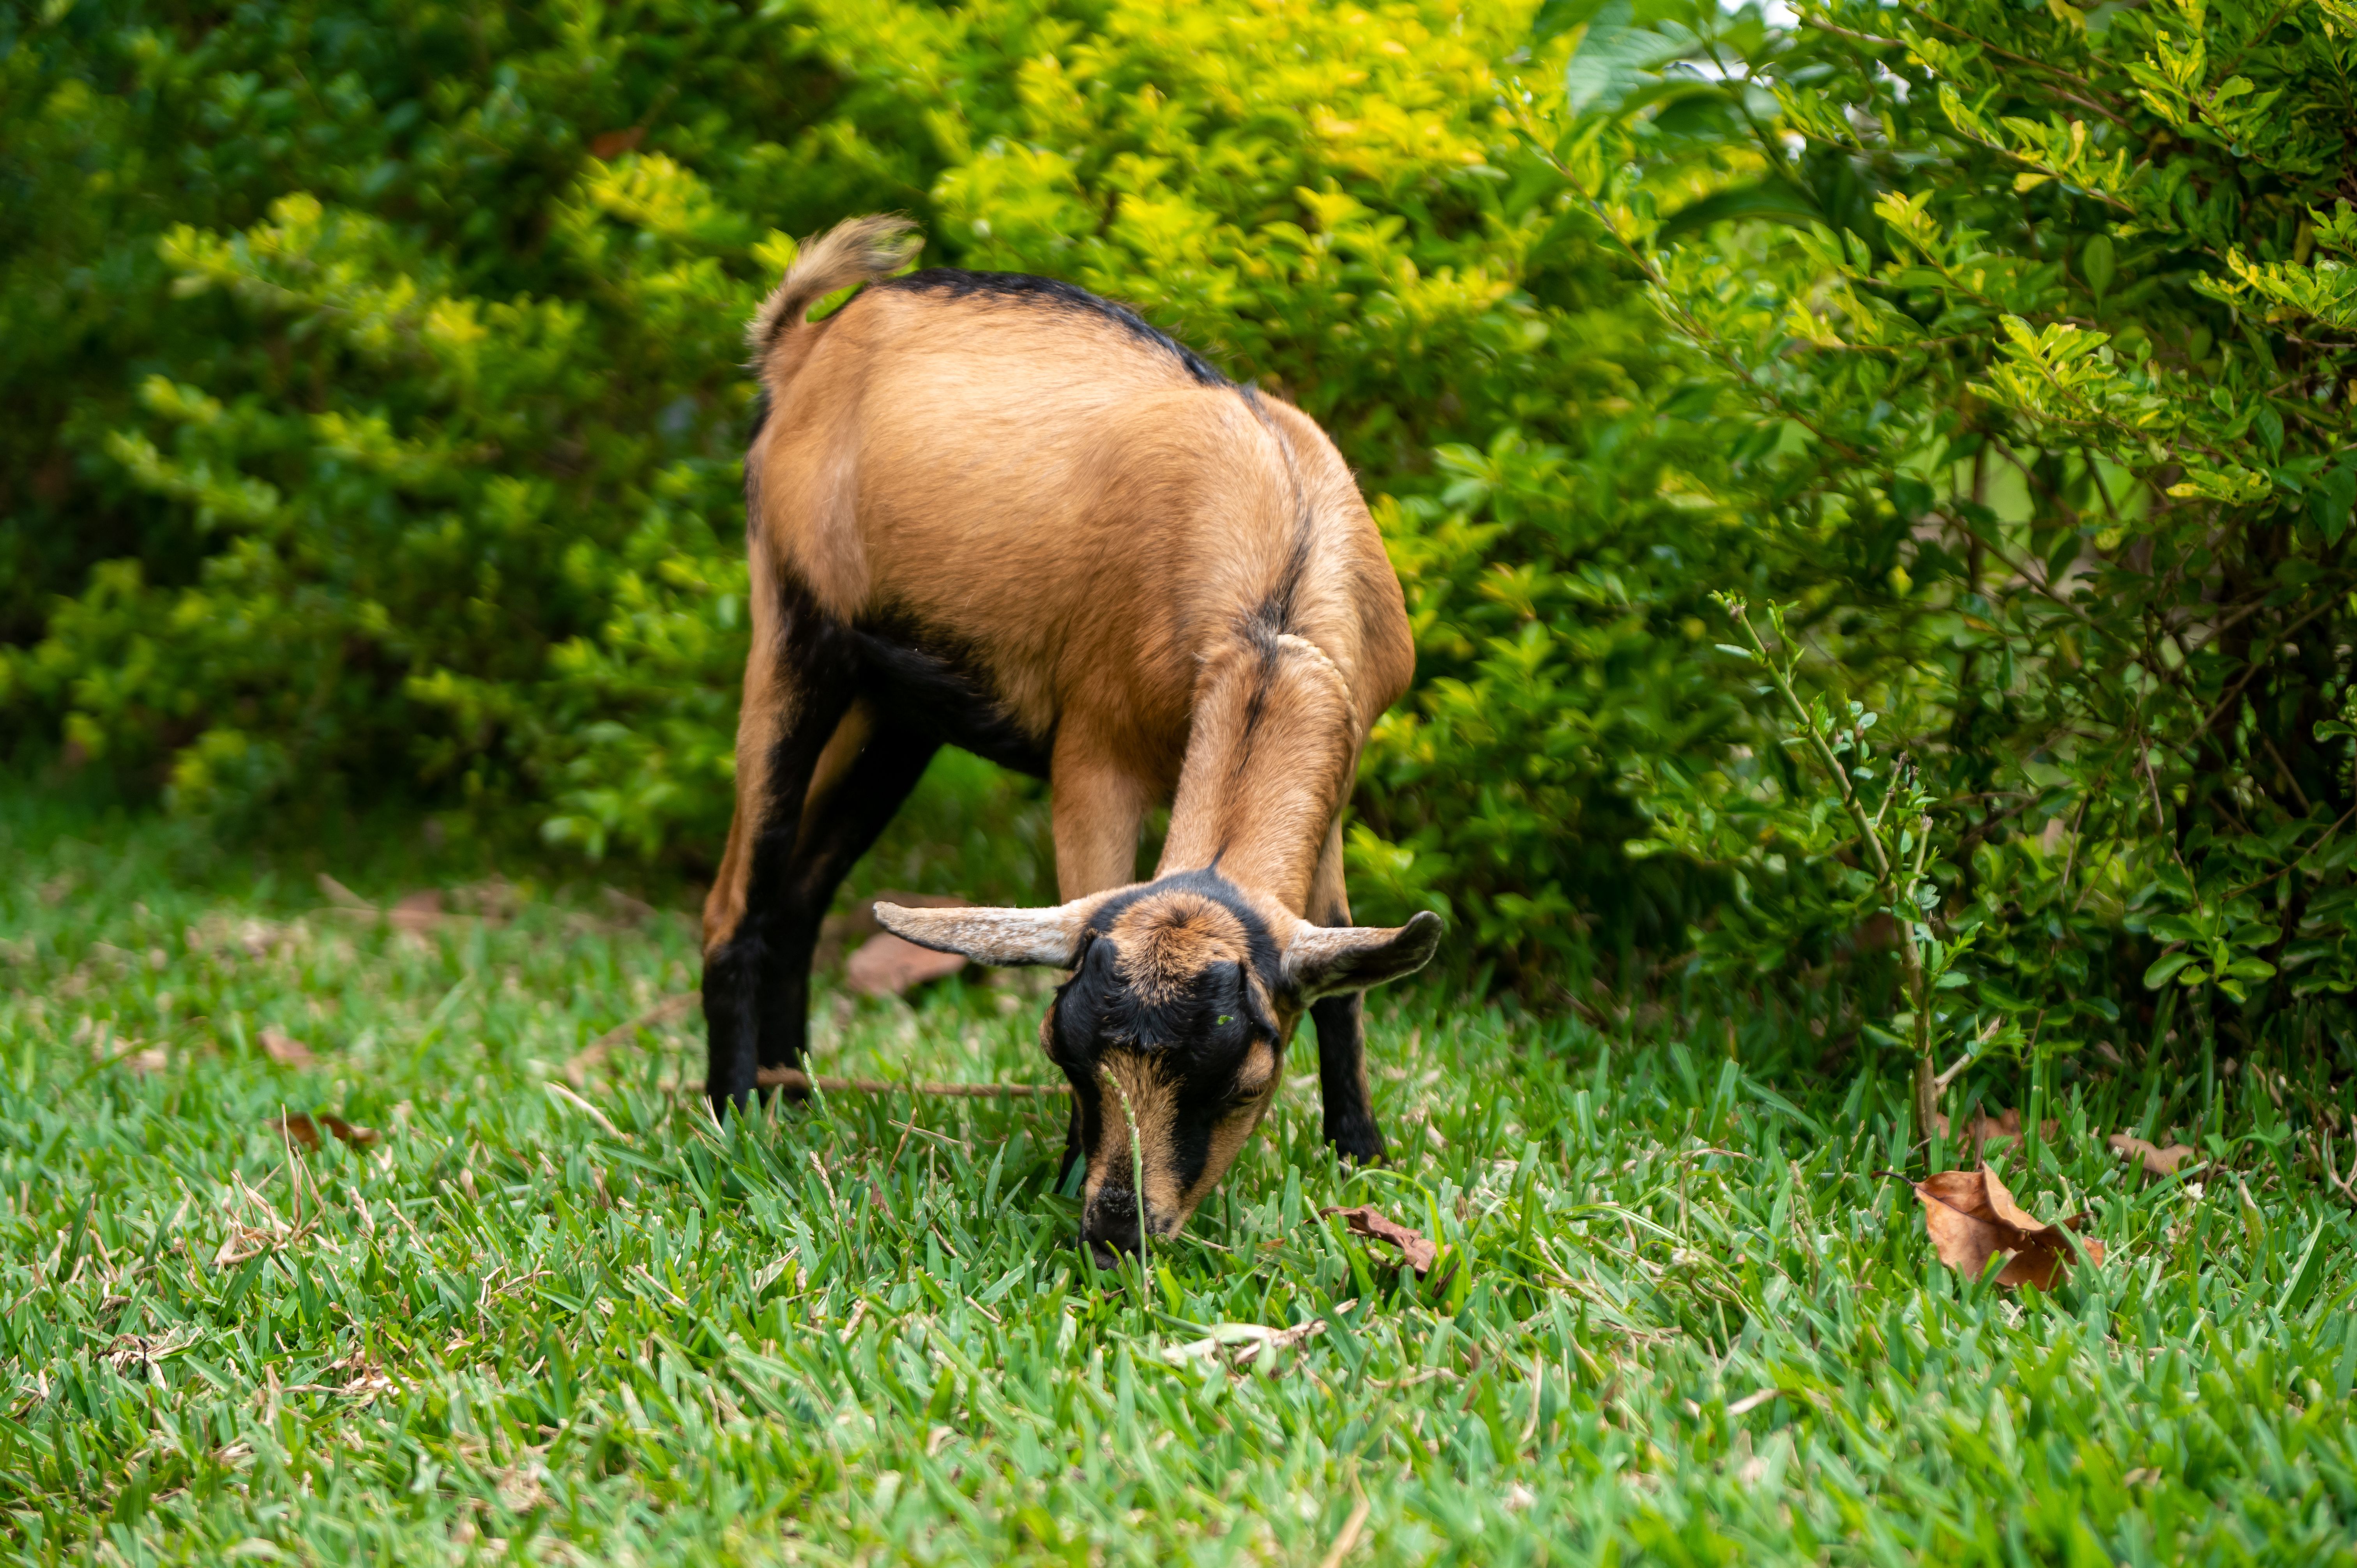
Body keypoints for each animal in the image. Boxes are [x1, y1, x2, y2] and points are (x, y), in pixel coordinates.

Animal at [704, 216, 1440, 1262]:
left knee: (804, 889)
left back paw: (793, 1099)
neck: (1275, 588)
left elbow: (1342, 970)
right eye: (1066, 1051)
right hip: (795, 627)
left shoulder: (1336, 775)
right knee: (741, 891)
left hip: (897, 710)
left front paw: (1362, 1154)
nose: (1118, 1229)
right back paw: (731, 1118)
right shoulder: (1096, 748)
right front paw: (1061, 1170)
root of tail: (803, 342)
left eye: (1246, 1080)